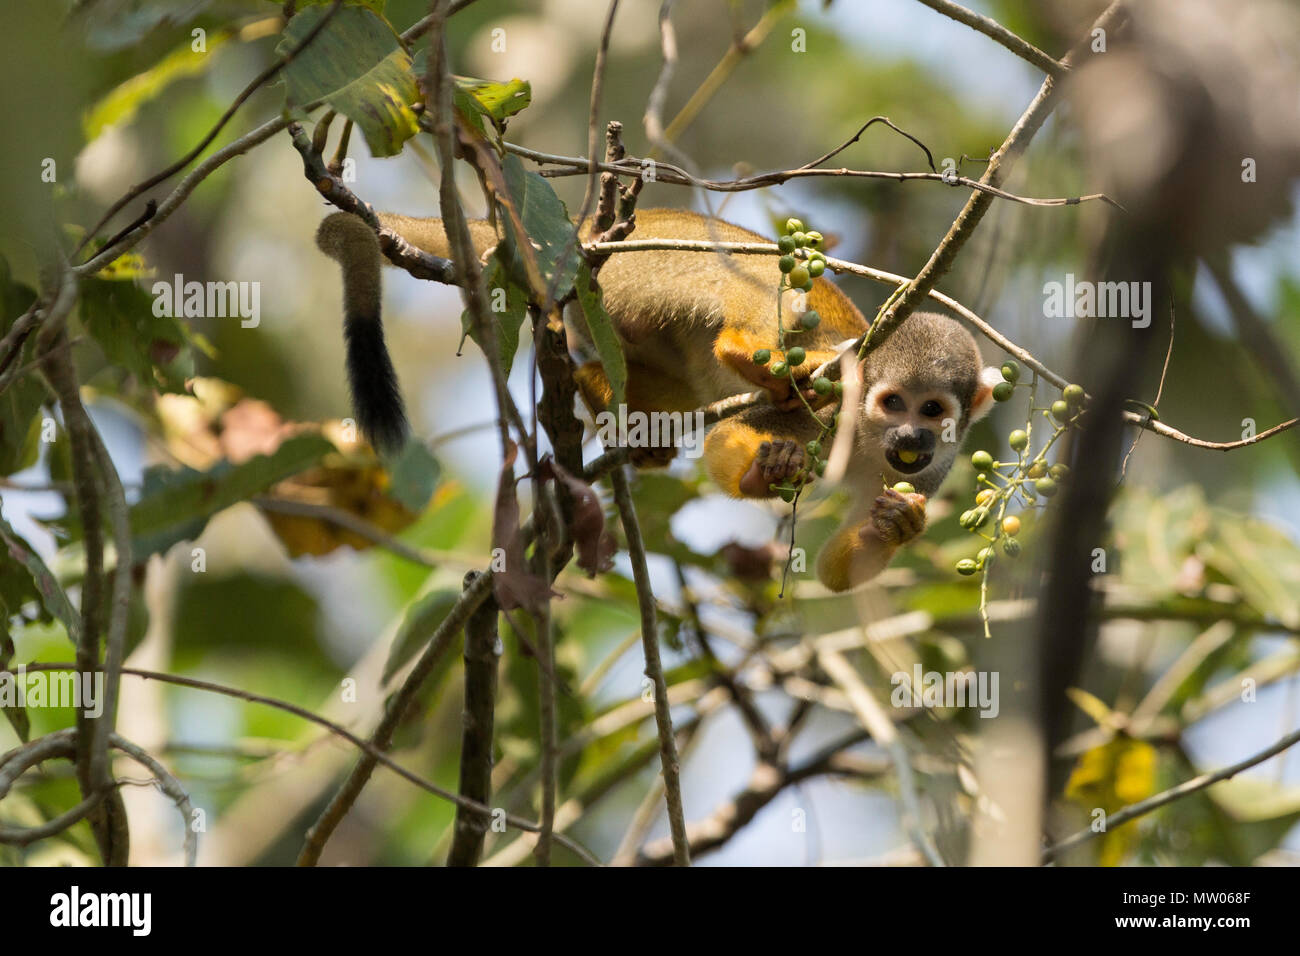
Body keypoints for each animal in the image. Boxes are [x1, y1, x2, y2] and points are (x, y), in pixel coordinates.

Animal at [315, 207, 1000, 591]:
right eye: (892, 403)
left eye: (933, 411)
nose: (909, 438)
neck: (864, 436)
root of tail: (584, 236)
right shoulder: (829, 403)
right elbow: (736, 435)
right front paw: (766, 468)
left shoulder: (934, 472)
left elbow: (840, 574)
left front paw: (897, 526)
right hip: (641, 272)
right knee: (764, 285)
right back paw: (744, 353)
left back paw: (610, 402)